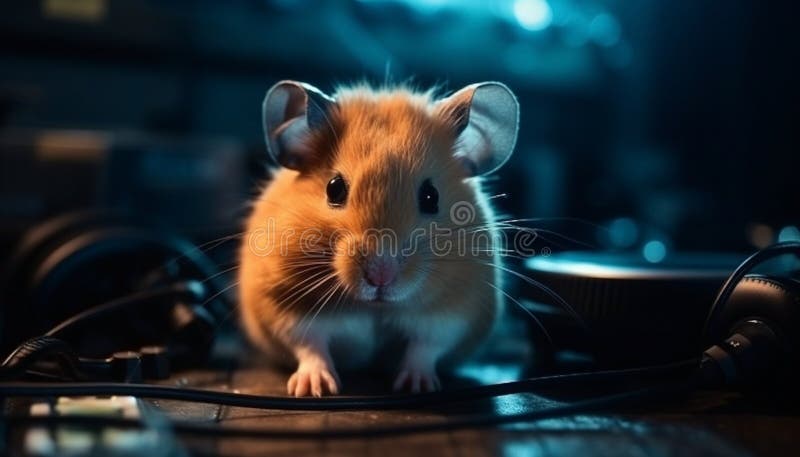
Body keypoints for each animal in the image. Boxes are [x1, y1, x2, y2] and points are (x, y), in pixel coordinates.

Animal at [239, 80, 519, 397]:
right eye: (334, 189)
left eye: (431, 197)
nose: (380, 277)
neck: (374, 307)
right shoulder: (286, 307)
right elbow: (310, 346)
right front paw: (316, 389)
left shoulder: (451, 314)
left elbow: (425, 349)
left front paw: (416, 387)